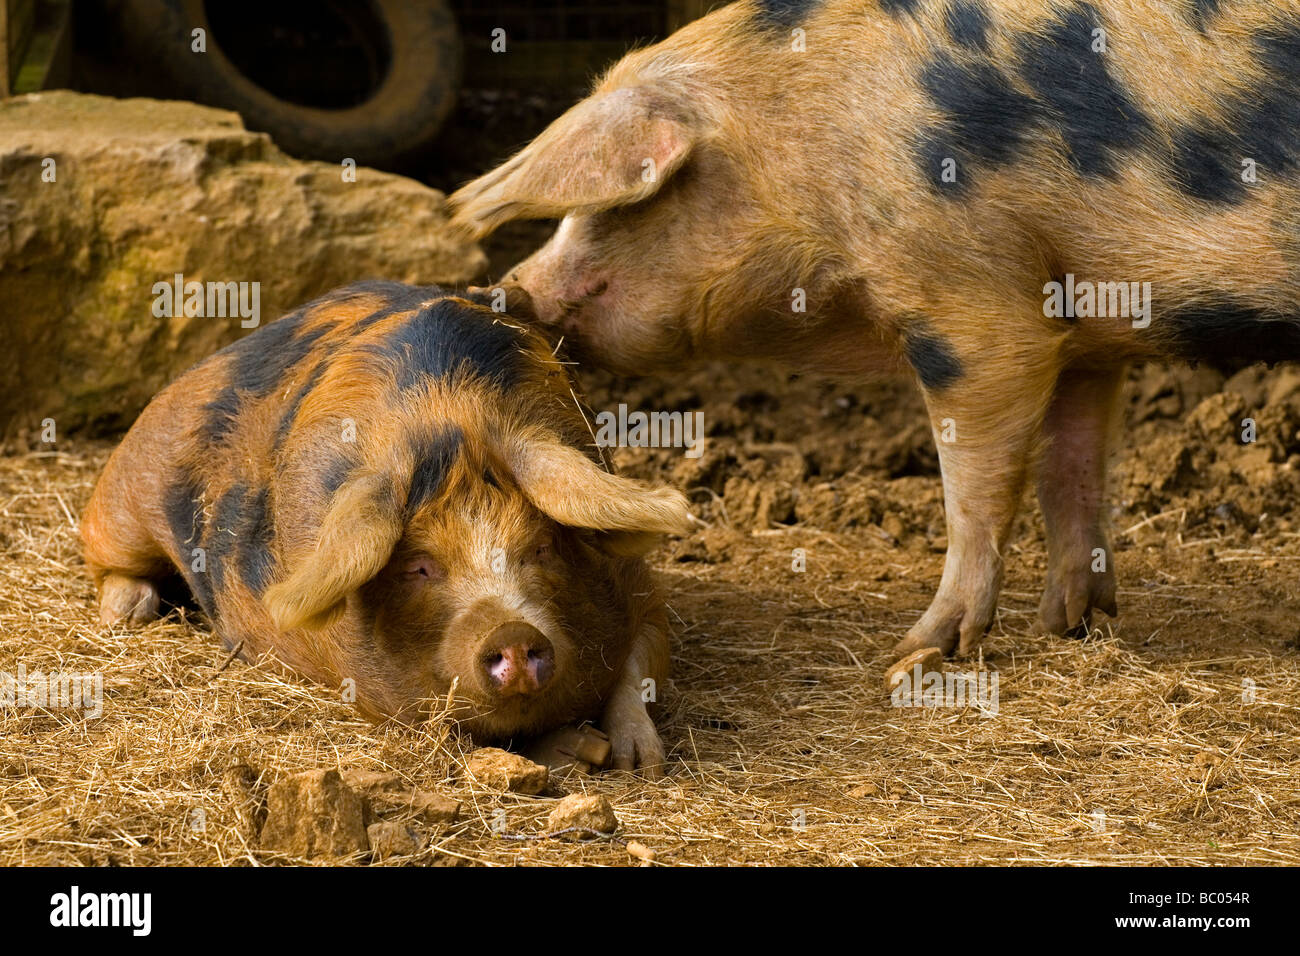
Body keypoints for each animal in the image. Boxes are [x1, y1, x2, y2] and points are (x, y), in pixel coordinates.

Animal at [81, 281, 693, 772]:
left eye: (542, 548)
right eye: (419, 566)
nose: (512, 634)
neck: (448, 409)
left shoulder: (642, 590)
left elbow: (640, 666)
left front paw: (638, 763)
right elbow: (447, 731)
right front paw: (582, 753)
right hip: (124, 493)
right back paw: (126, 618)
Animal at [450, 0, 1300, 657]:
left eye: (620, 202)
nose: (505, 290)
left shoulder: (974, 306)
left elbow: (974, 488)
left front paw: (914, 653)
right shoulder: (1083, 320)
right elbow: (1071, 469)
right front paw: (1070, 625)